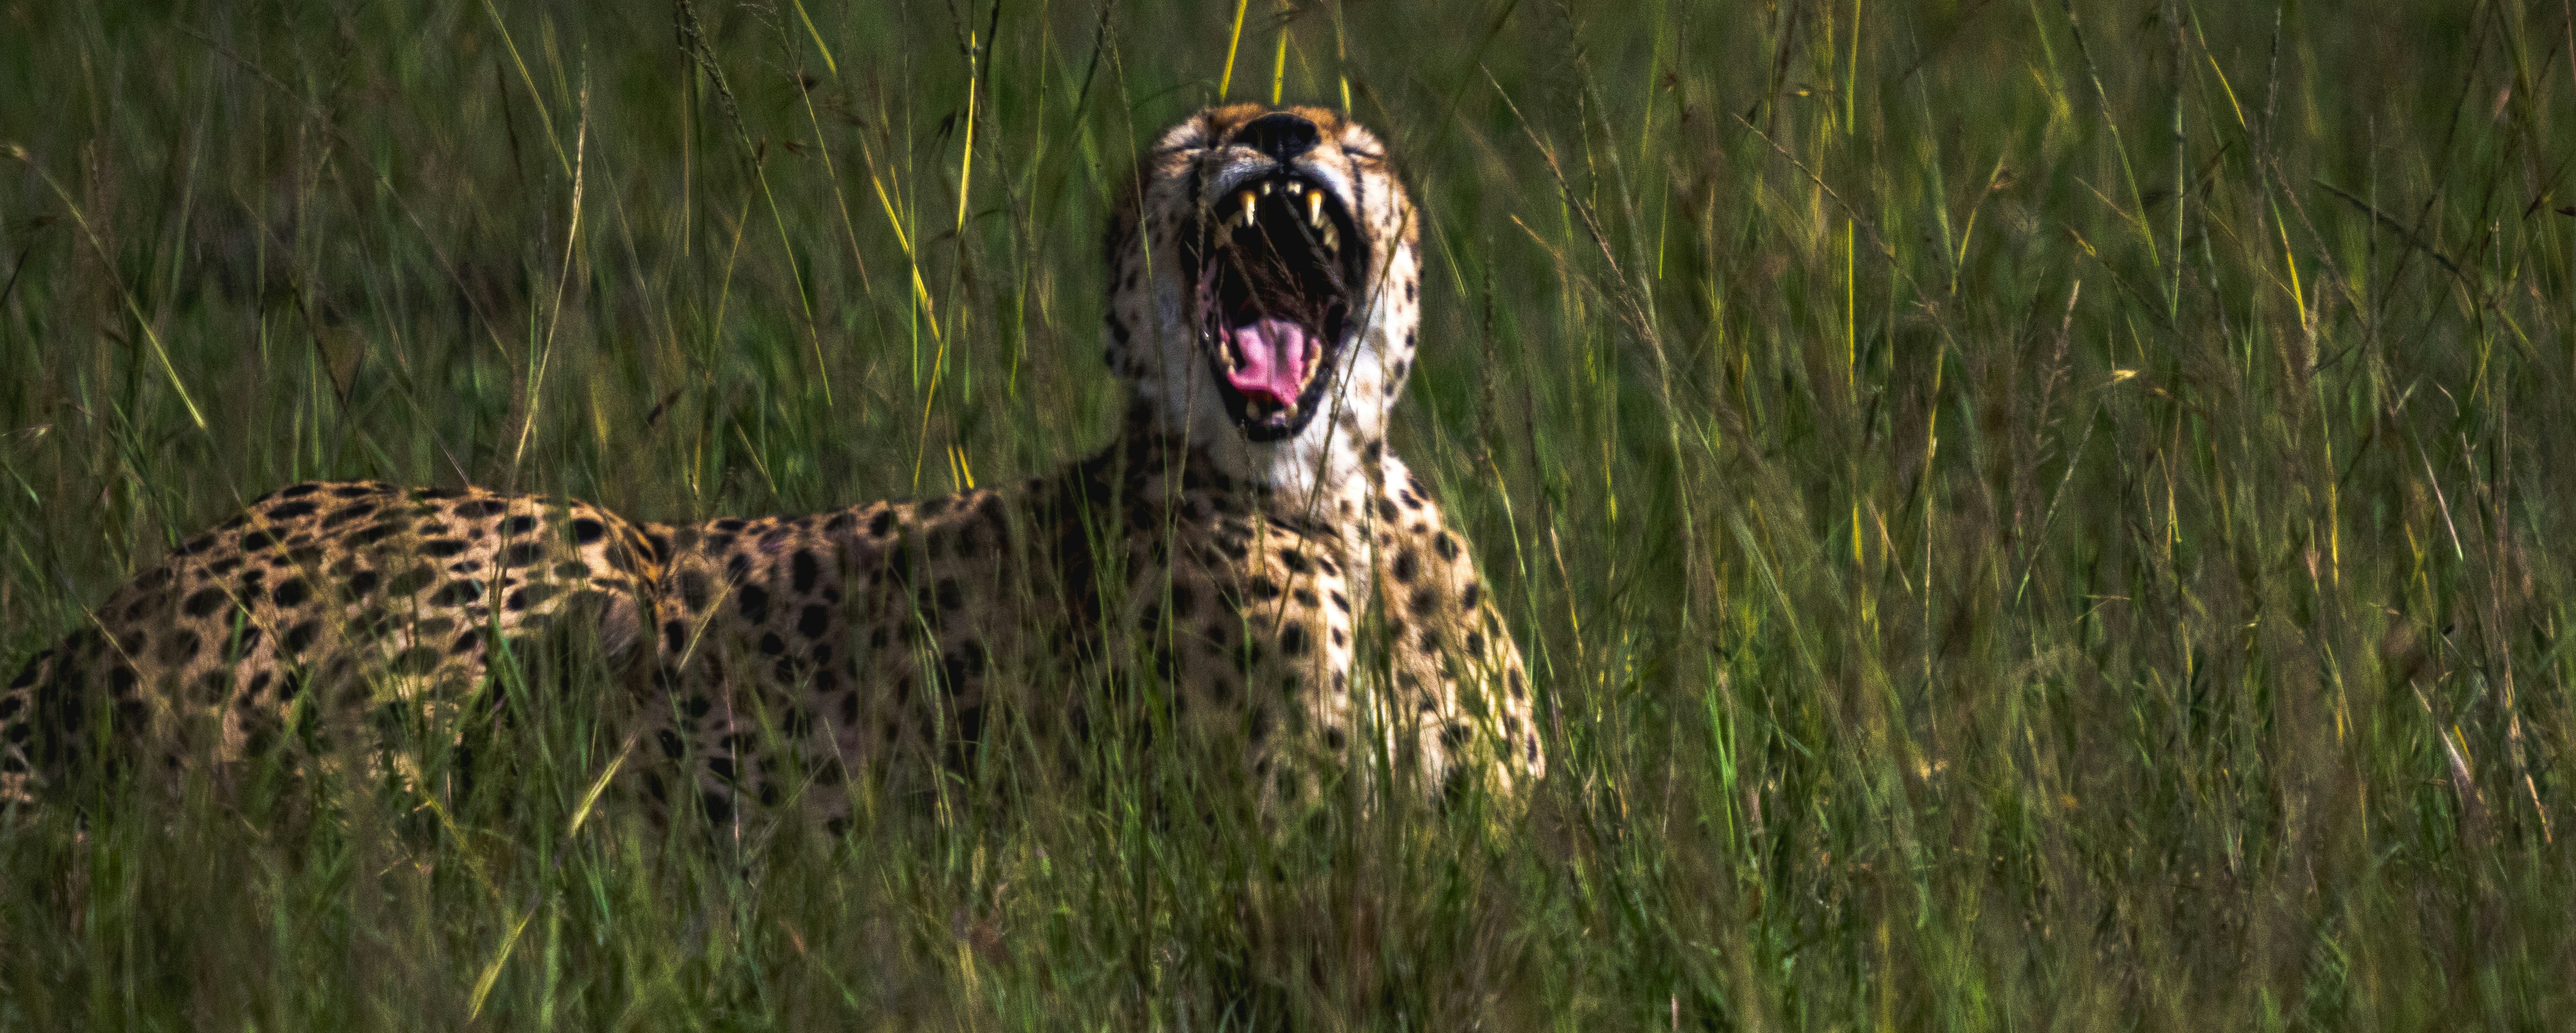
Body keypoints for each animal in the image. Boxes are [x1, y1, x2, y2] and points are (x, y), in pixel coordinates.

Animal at [0, 104, 1544, 831]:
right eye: (1195, 140)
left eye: (1346, 139)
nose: (1277, 137)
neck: (1333, 501)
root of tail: (85, 632)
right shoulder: (1275, 831)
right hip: (576, 554)